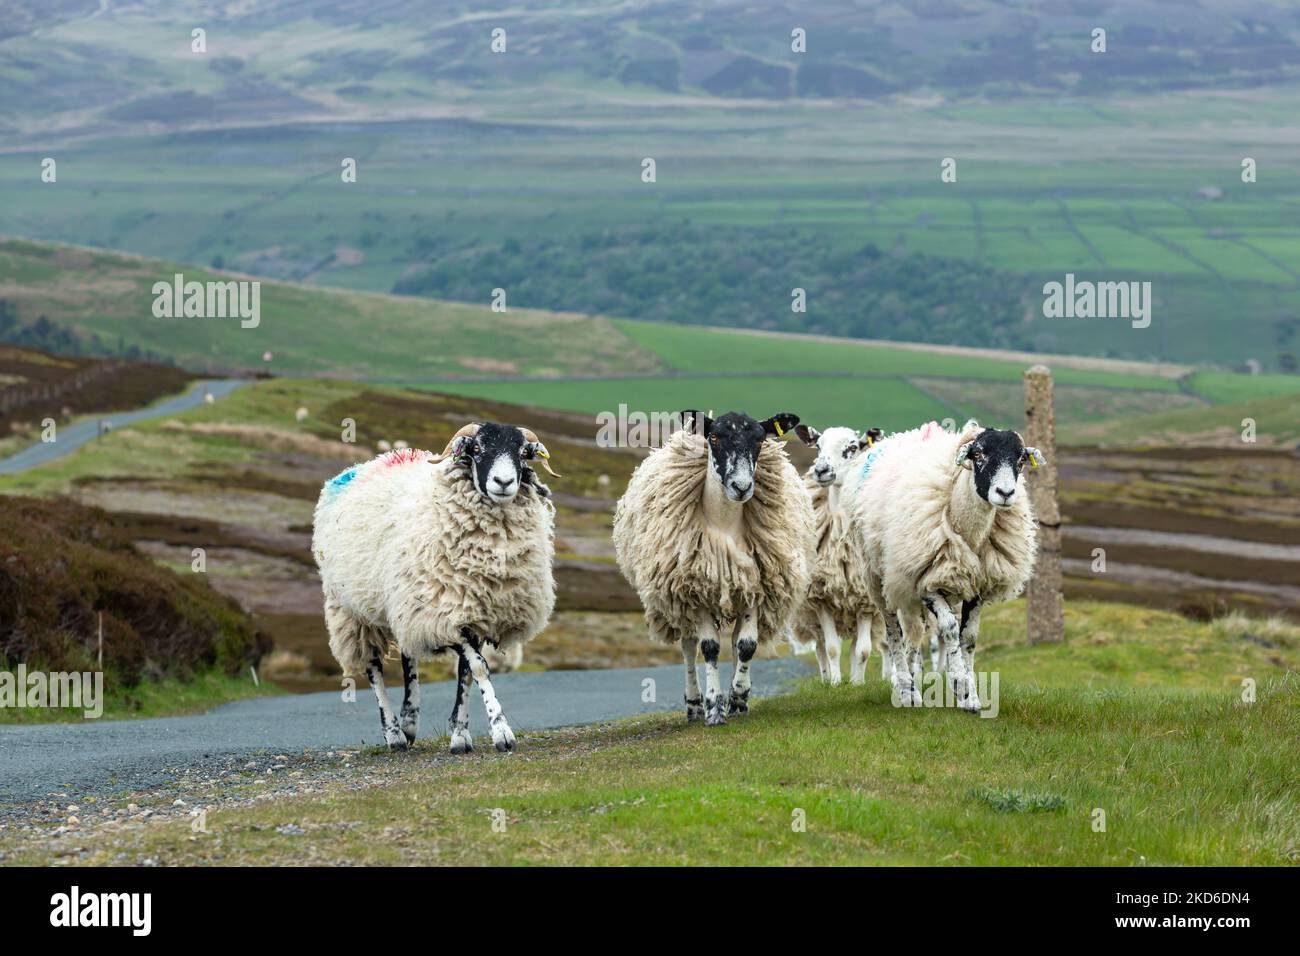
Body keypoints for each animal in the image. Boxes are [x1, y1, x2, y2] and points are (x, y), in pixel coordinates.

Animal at [312, 421, 560, 753]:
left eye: (522, 452)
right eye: (477, 448)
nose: (504, 481)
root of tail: (366, 465)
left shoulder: (472, 613)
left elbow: (465, 674)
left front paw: (460, 735)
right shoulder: (448, 612)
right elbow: (479, 668)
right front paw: (501, 731)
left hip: (404, 603)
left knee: (408, 658)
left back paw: (409, 721)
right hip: (352, 610)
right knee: (373, 667)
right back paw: (394, 732)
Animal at [613, 409, 816, 726]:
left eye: (760, 439)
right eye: (715, 437)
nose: (741, 487)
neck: (724, 524)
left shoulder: (755, 584)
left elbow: (746, 645)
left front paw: (738, 696)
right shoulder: (696, 589)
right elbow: (708, 647)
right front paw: (714, 707)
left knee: (734, 641)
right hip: (678, 596)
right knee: (688, 645)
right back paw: (694, 704)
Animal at [790, 424, 885, 685]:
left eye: (852, 448)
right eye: (818, 446)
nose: (821, 470)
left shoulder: (865, 601)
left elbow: (863, 650)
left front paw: (857, 684)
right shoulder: (820, 598)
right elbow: (832, 648)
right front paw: (834, 684)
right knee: (820, 645)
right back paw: (825, 678)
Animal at [849, 420, 1042, 711]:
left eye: (1020, 460)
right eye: (978, 454)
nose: (1006, 493)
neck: (969, 531)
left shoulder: (978, 587)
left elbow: (969, 638)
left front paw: (970, 696)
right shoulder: (926, 584)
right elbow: (950, 628)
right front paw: (960, 684)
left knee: (914, 635)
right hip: (879, 579)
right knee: (894, 633)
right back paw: (906, 690)